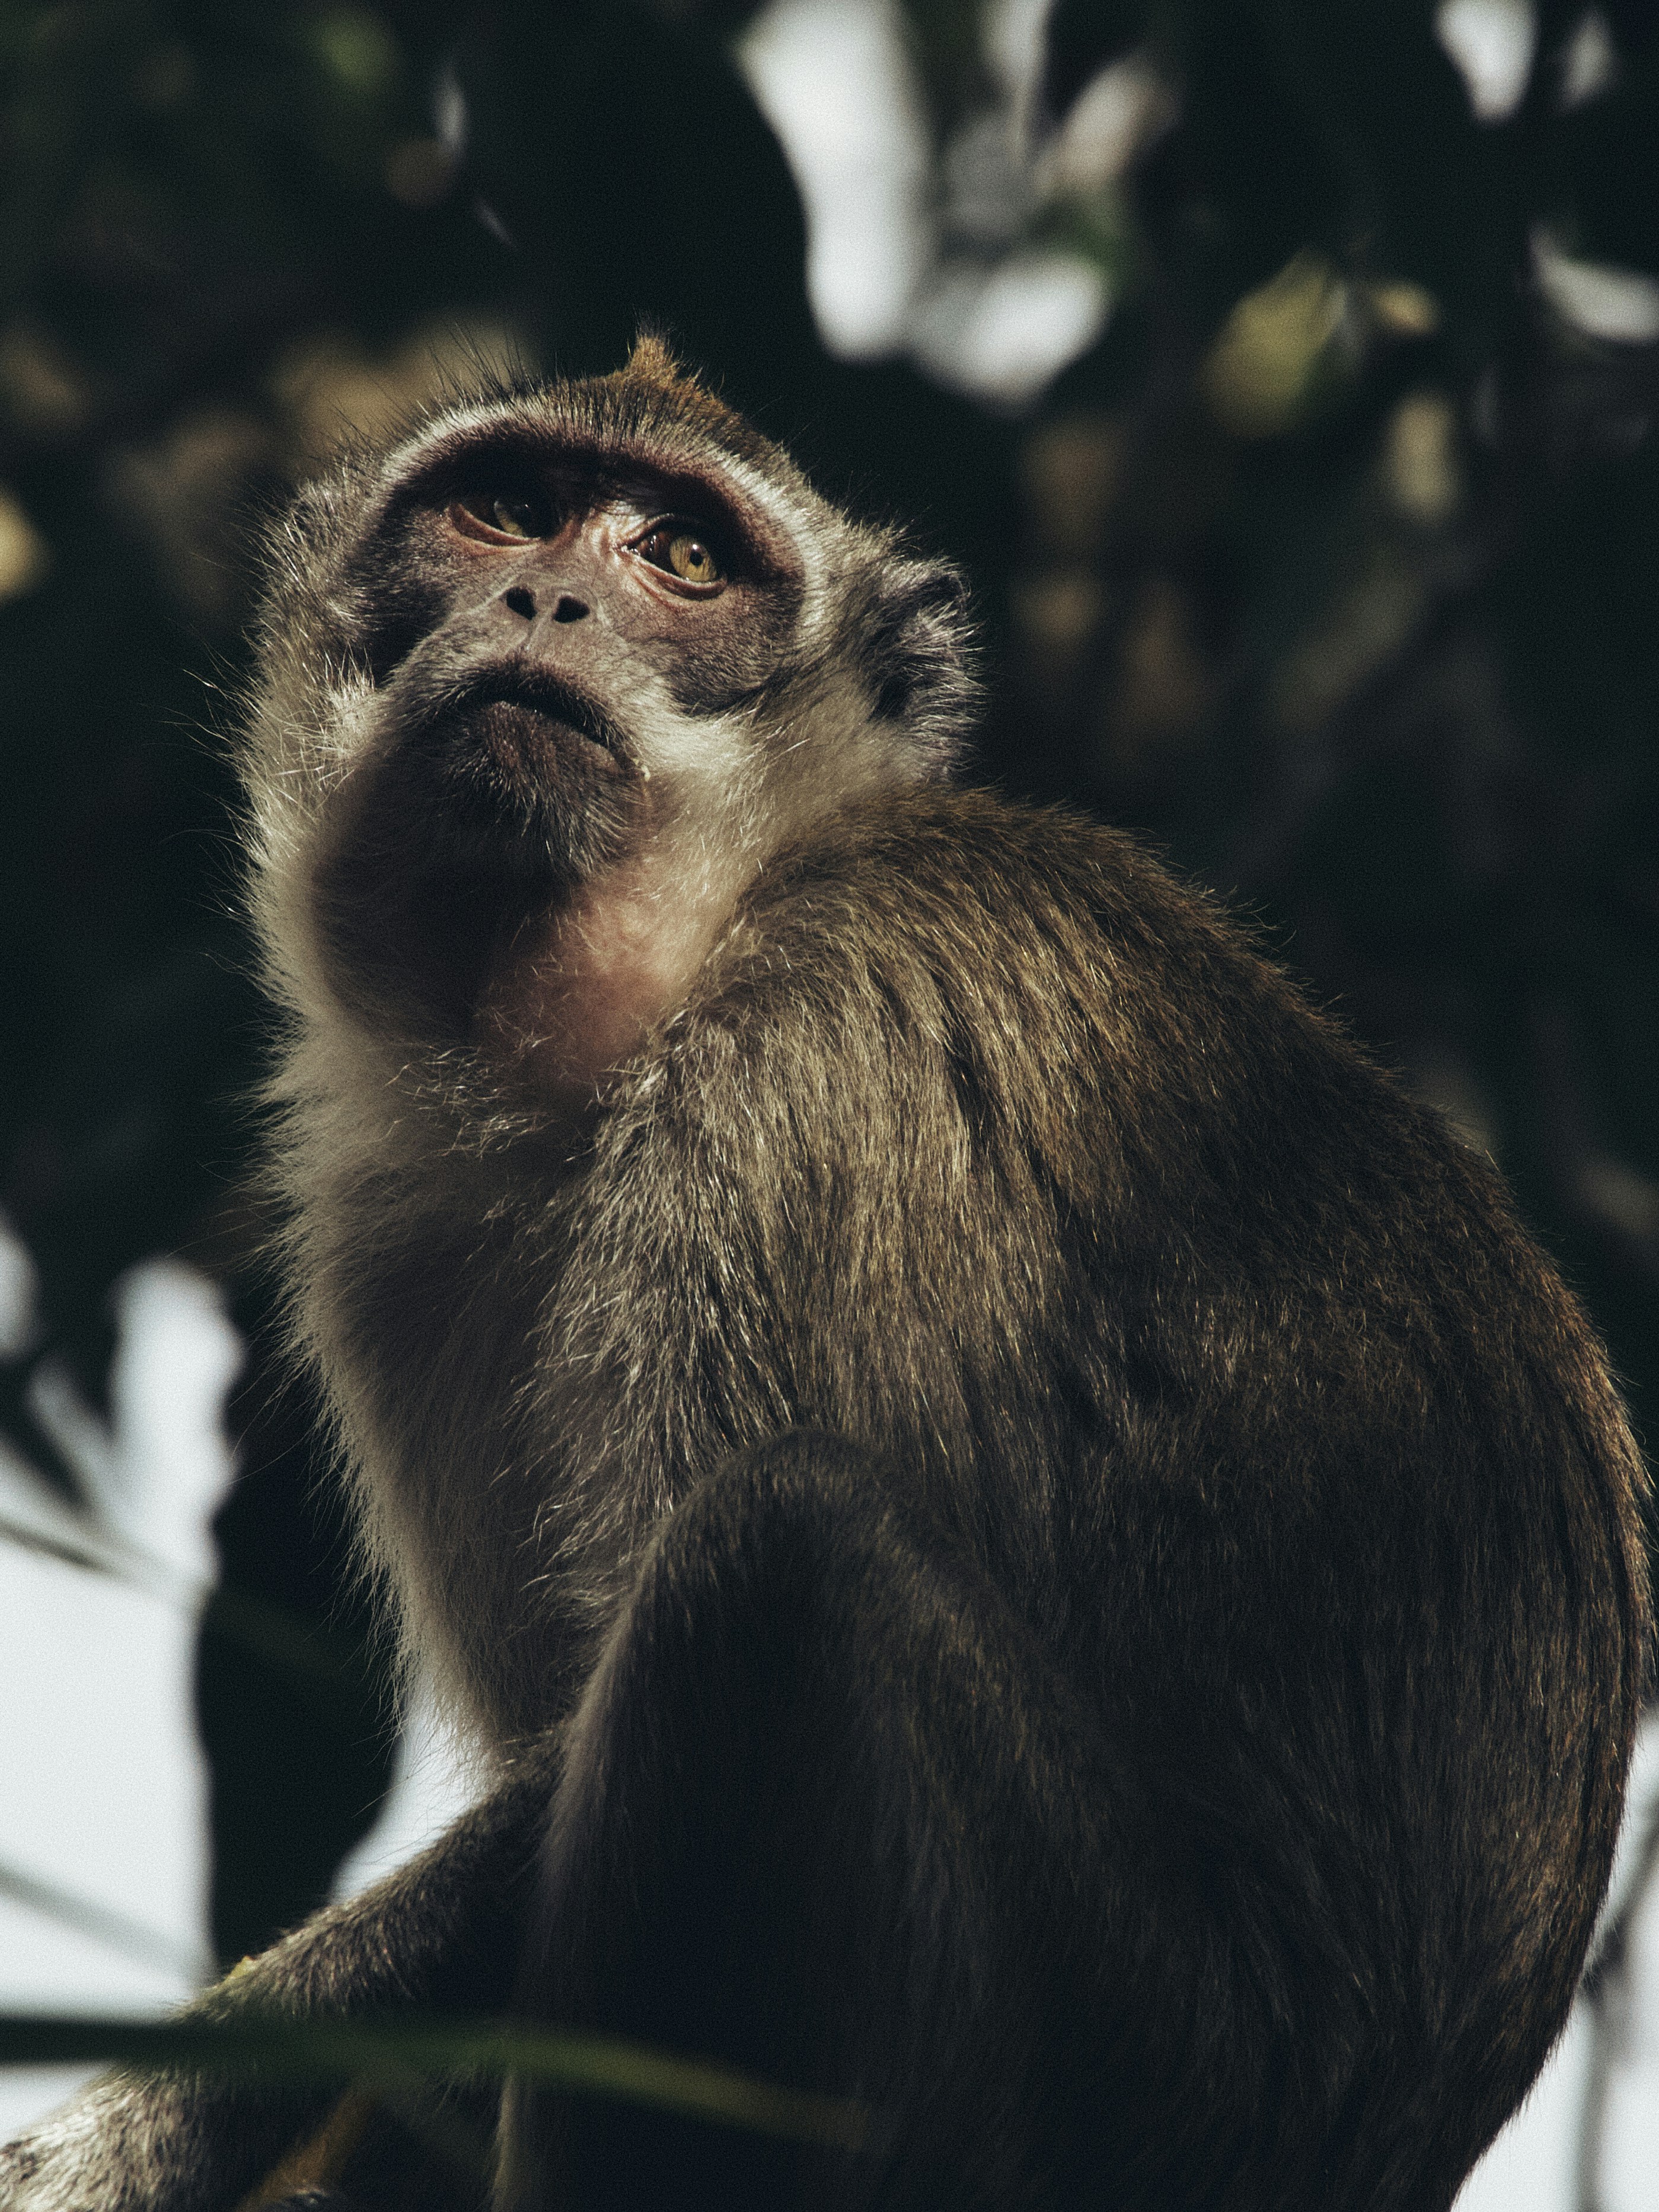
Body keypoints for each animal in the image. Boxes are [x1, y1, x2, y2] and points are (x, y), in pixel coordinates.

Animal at [2, 335, 1648, 2212]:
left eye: (685, 563)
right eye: (504, 508)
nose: (547, 598)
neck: (669, 970)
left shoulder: (815, 1052)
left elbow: (584, 1759)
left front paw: (111, 2138)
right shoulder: (386, 1232)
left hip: (1120, 2071)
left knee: (771, 1562)